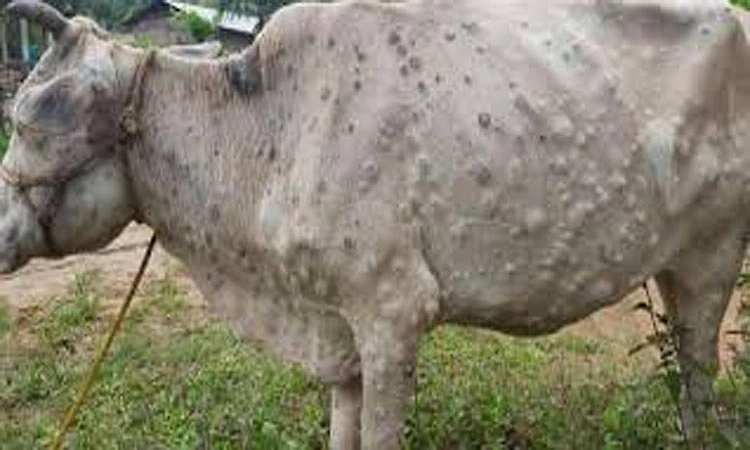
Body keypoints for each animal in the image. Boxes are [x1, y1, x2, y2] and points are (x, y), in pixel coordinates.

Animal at [2, 0, 749, 448]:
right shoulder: (338, 329)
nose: (2, 232)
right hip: (671, 266)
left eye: (32, 123)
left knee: (700, 369)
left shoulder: (393, 313)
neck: (269, 131)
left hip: (716, 255)